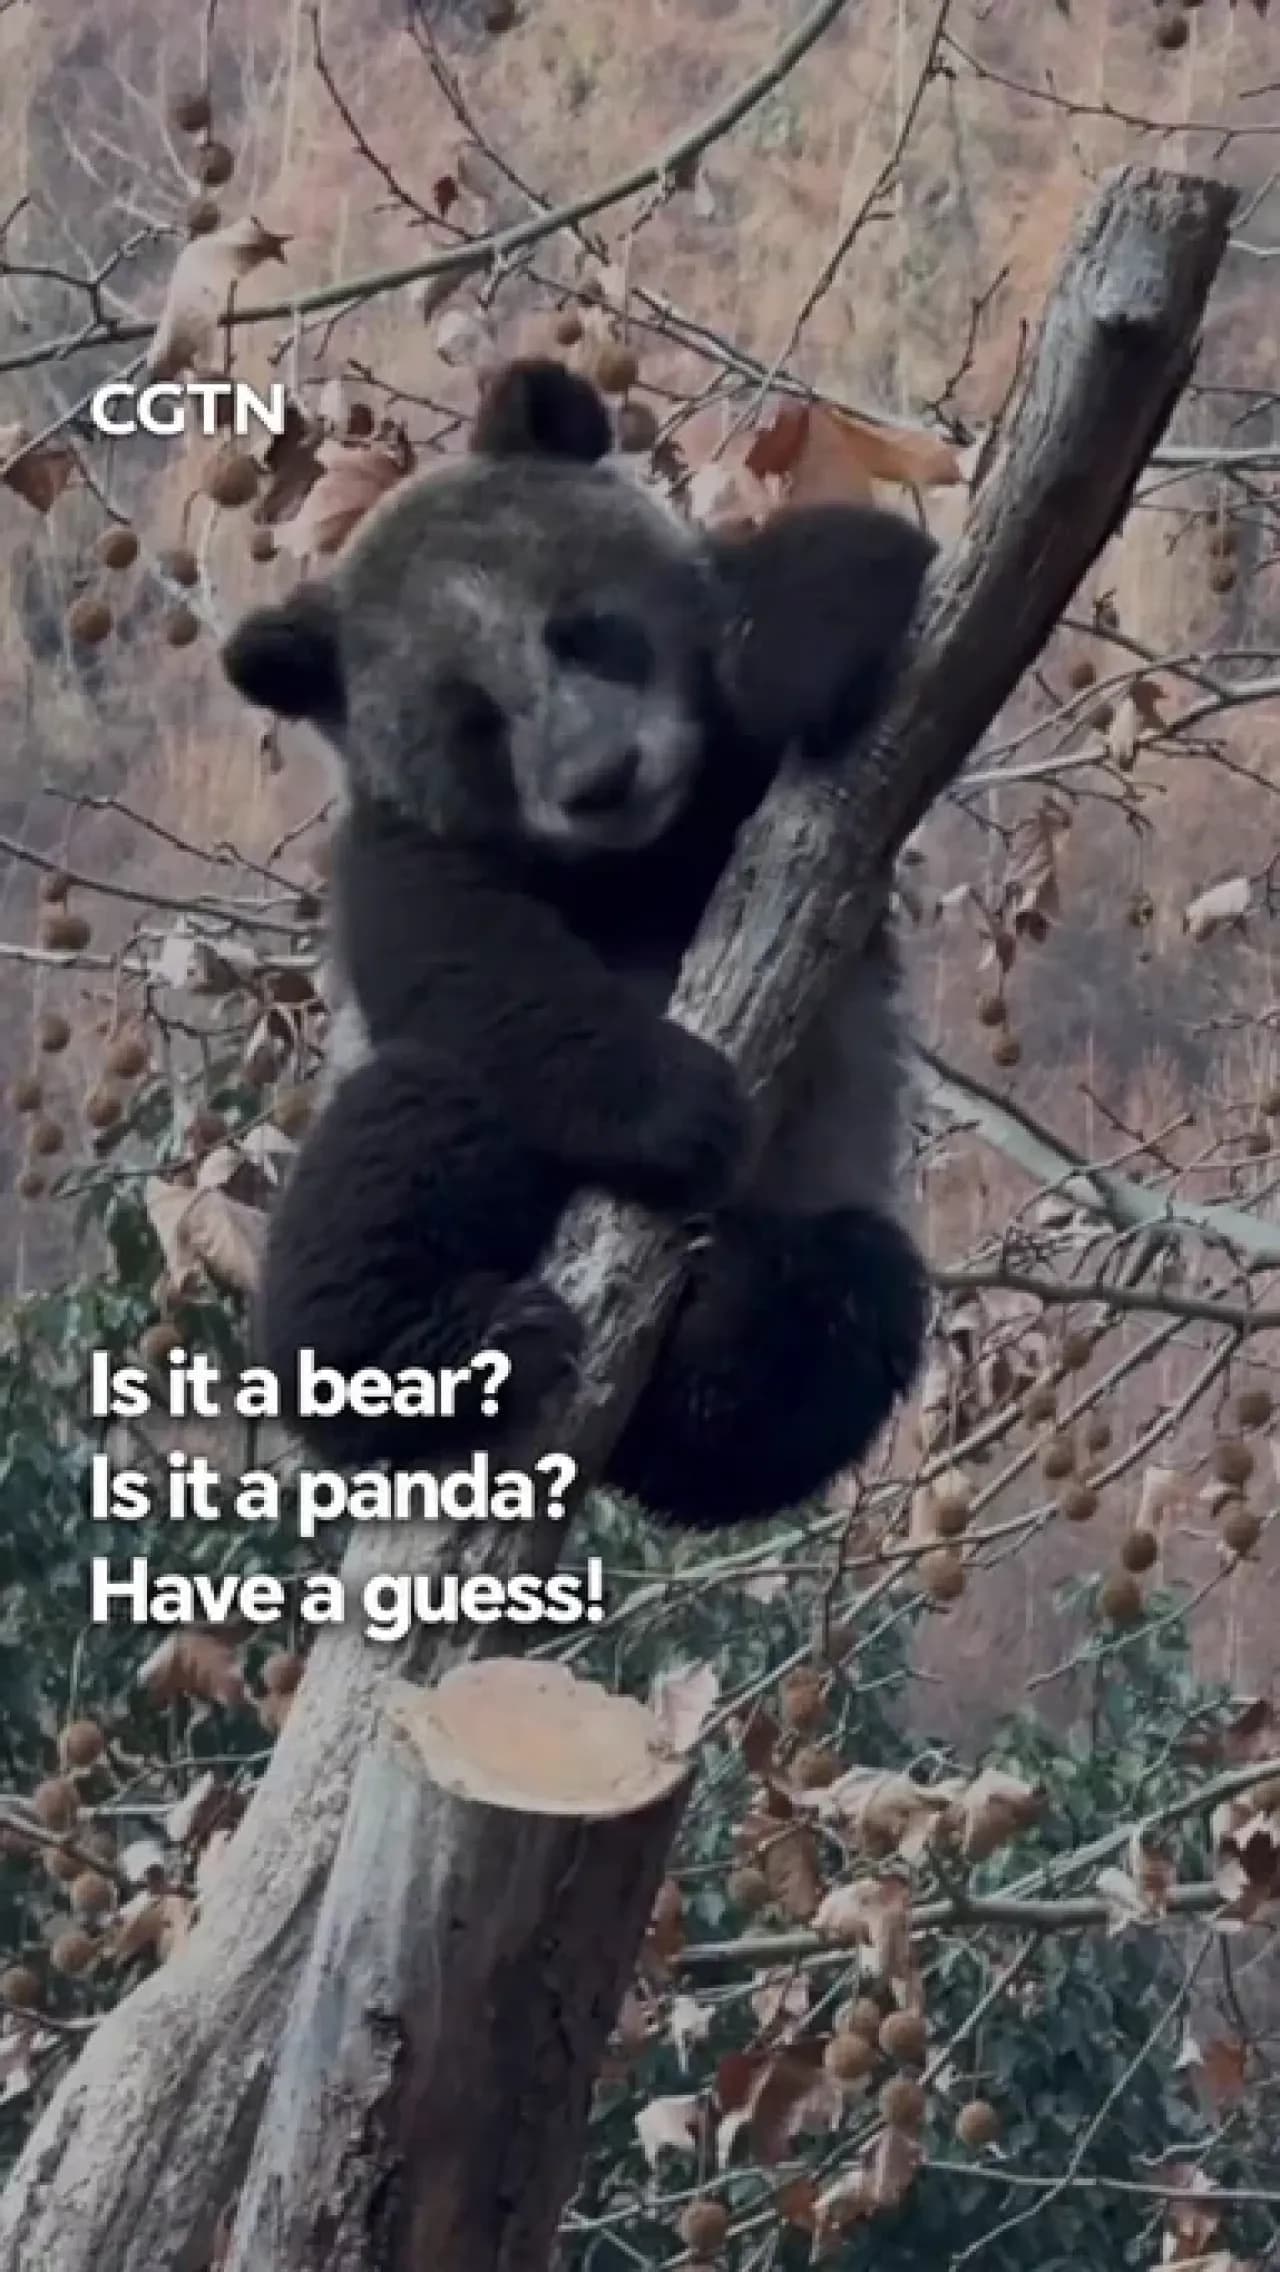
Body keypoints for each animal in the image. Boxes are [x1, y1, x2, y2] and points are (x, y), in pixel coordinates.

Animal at [220, 358, 933, 1530]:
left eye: (587, 632)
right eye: (473, 719)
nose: (602, 780)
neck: (636, 858)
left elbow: (859, 571)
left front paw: (775, 648)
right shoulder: (400, 845)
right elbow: (472, 965)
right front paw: (680, 1106)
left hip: (817, 1192)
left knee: (841, 1316)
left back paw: (718, 1330)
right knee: (404, 1137)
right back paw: (453, 1350)